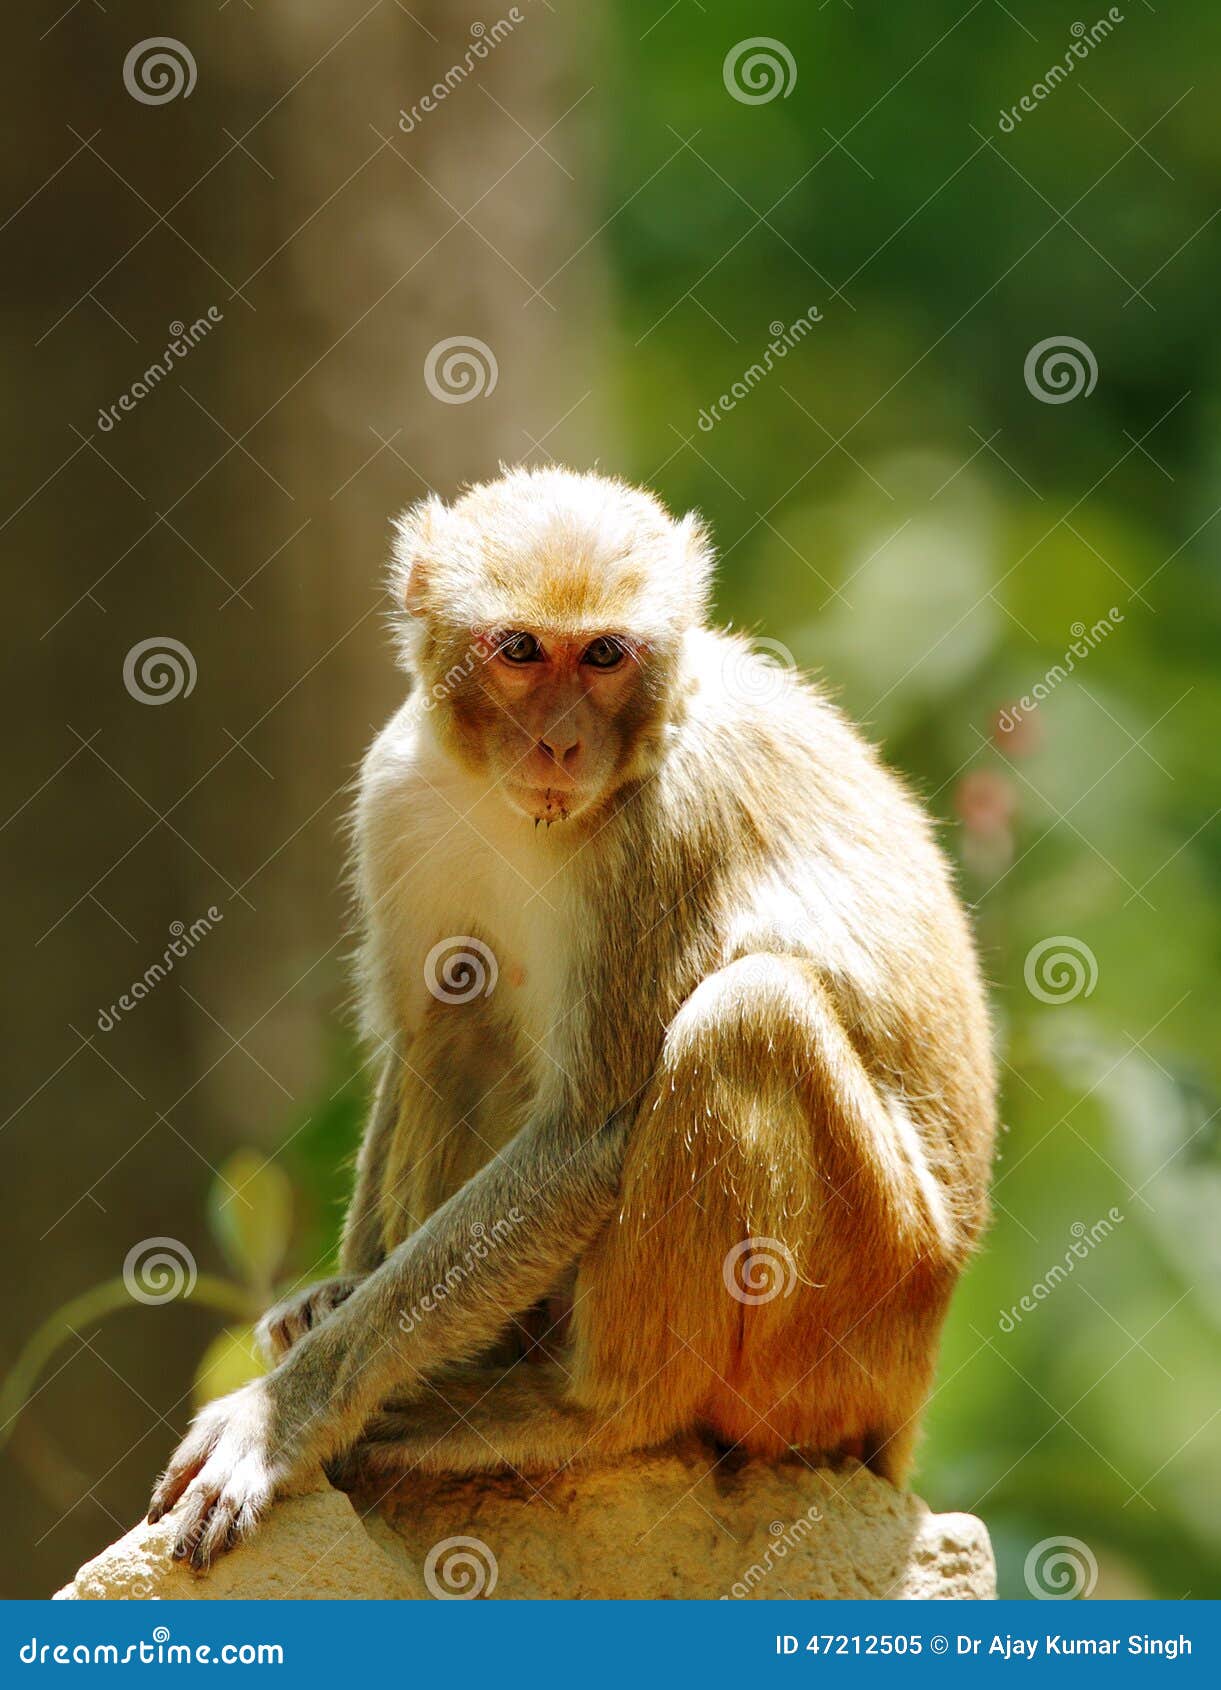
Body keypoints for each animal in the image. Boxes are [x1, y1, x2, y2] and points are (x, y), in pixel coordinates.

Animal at [148, 465, 996, 1570]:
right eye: (519, 650)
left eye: (603, 654)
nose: (559, 741)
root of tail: (906, 1406)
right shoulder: (397, 789)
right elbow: (417, 1030)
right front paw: (332, 1299)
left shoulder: (664, 833)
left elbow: (584, 1138)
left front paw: (283, 1415)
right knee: (463, 1013)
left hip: (852, 1320)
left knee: (747, 1016)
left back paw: (590, 1416)